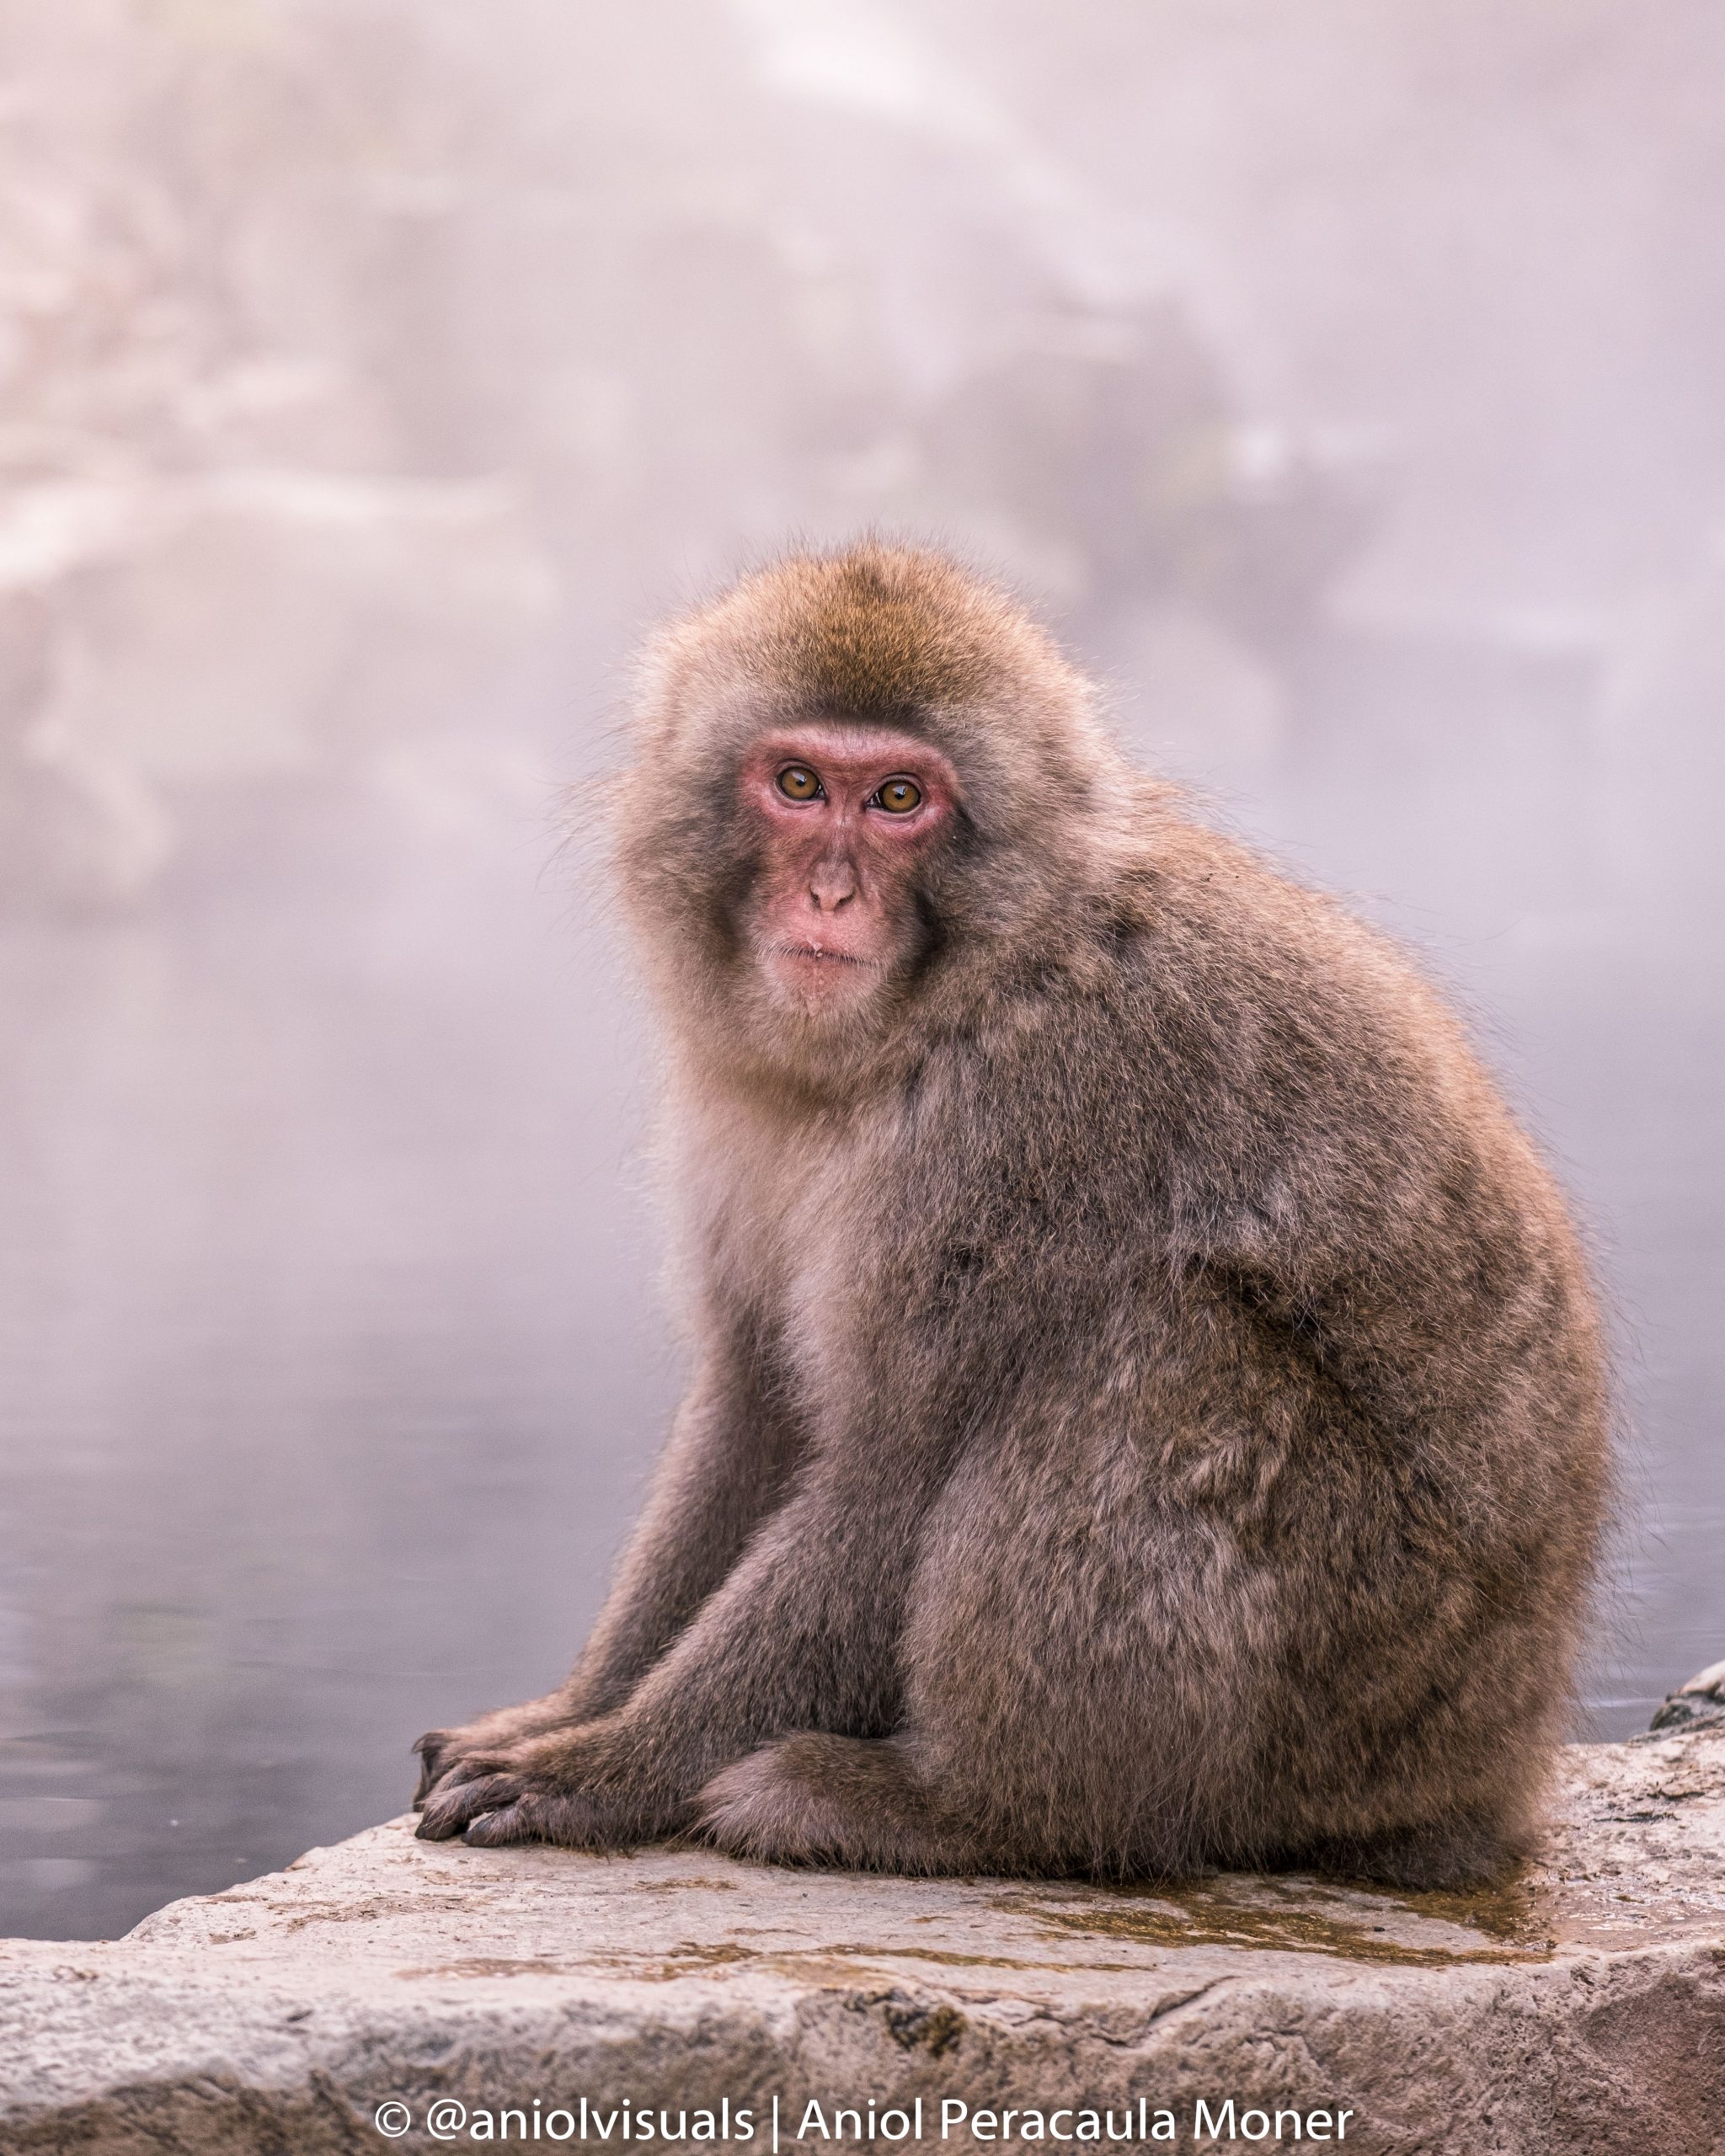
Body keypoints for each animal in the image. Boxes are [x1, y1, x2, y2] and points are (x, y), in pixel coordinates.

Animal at [413, 542, 1611, 1889]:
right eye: (795, 783)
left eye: (898, 800)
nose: (830, 893)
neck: (933, 1011)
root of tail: (1501, 1763)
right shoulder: (740, 1102)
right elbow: (757, 1407)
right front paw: (568, 1710)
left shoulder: (1029, 1114)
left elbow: (893, 1466)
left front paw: (610, 1769)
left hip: (1361, 1685)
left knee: (1157, 1338)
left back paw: (967, 1809)